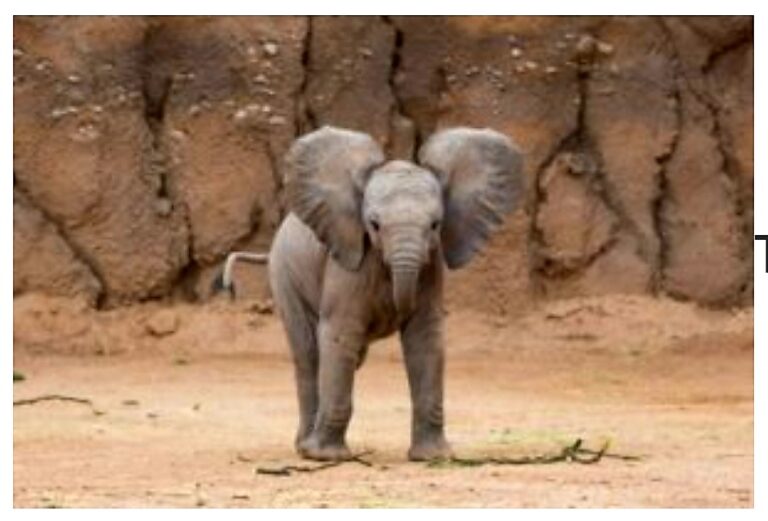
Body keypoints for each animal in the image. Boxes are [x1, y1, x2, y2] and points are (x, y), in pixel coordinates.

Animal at [224, 125, 523, 461]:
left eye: (435, 225)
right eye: (374, 225)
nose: (397, 305)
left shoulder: (430, 266)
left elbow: (425, 338)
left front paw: (432, 457)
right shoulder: (348, 264)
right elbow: (341, 334)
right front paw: (328, 458)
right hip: (284, 274)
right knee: (309, 354)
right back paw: (305, 449)